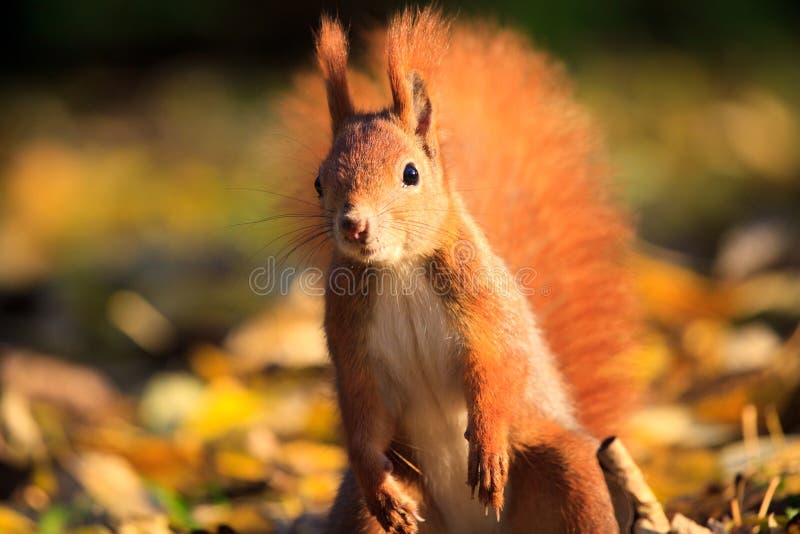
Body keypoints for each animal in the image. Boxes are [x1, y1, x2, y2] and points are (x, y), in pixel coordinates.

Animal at [274, 7, 641, 534]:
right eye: (319, 182)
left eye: (410, 174)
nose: (354, 224)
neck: (399, 268)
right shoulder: (354, 347)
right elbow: (362, 415)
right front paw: (380, 488)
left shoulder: (485, 309)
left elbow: (497, 368)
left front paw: (486, 451)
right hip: (366, 511)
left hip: (567, 469)